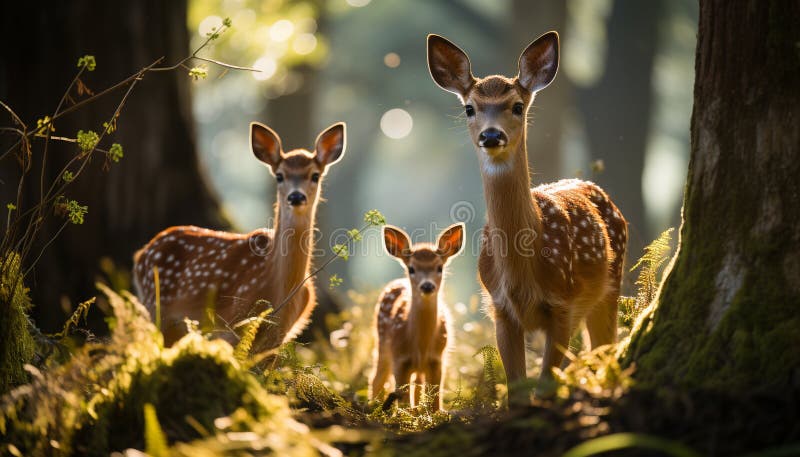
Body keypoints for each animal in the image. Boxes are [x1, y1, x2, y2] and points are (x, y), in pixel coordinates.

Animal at [133, 122, 346, 352]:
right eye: (279, 176)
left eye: (315, 175)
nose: (296, 196)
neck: (278, 286)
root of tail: (141, 254)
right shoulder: (233, 323)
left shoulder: (278, 338)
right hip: (154, 305)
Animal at [369, 223, 464, 411]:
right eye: (411, 268)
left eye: (439, 267)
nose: (427, 286)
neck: (421, 346)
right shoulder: (400, 359)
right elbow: (404, 401)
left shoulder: (437, 359)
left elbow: (434, 403)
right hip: (382, 341)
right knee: (377, 378)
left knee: (418, 387)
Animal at [427, 32, 627, 401]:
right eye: (469, 108)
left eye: (517, 106)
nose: (491, 135)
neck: (523, 273)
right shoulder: (499, 309)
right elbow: (517, 390)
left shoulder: (564, 303)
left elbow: (546, 386)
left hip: (610, 285)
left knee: (605, 347)